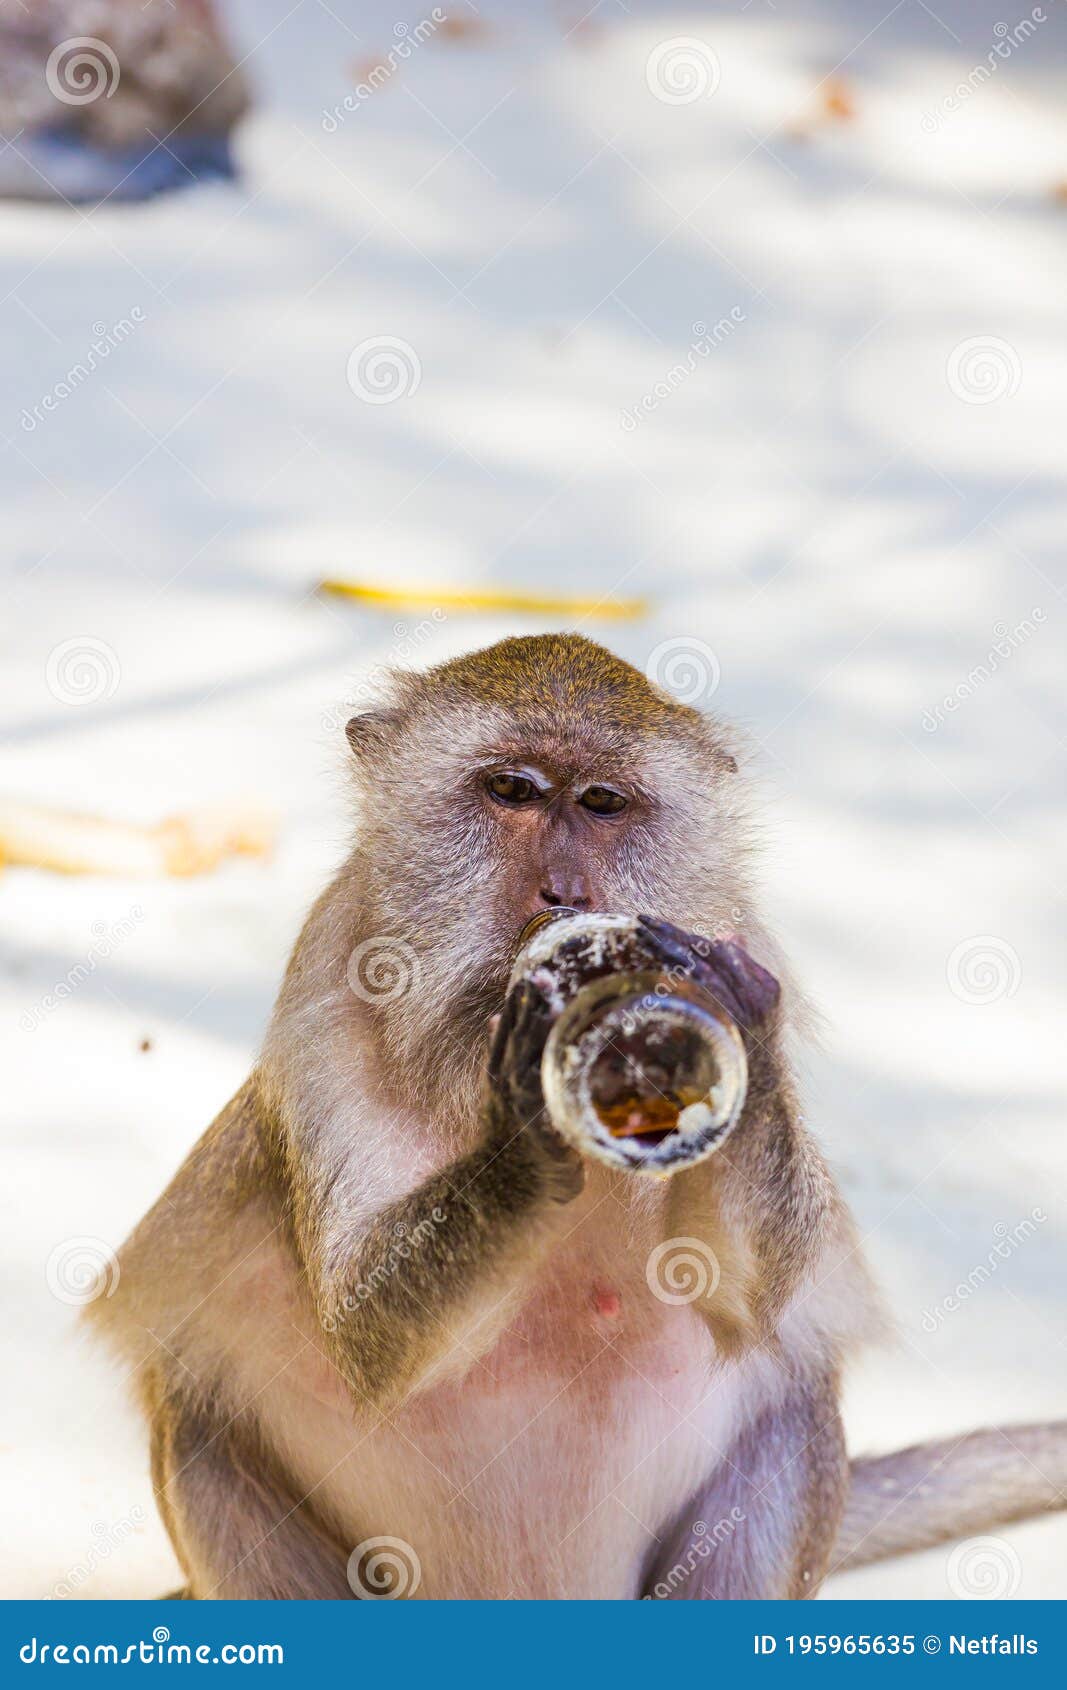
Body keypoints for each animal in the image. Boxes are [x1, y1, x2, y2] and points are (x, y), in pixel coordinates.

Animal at [85, 633, 1067, 1600]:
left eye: (601, 803)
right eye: (511, 791)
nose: (561, 895)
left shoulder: (743, 943)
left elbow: (740, 1296)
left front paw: (729, 1028)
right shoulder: (326, 982)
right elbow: (363, 1335)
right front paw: (527, 1120)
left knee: (791, 1413)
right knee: (202, 1432)